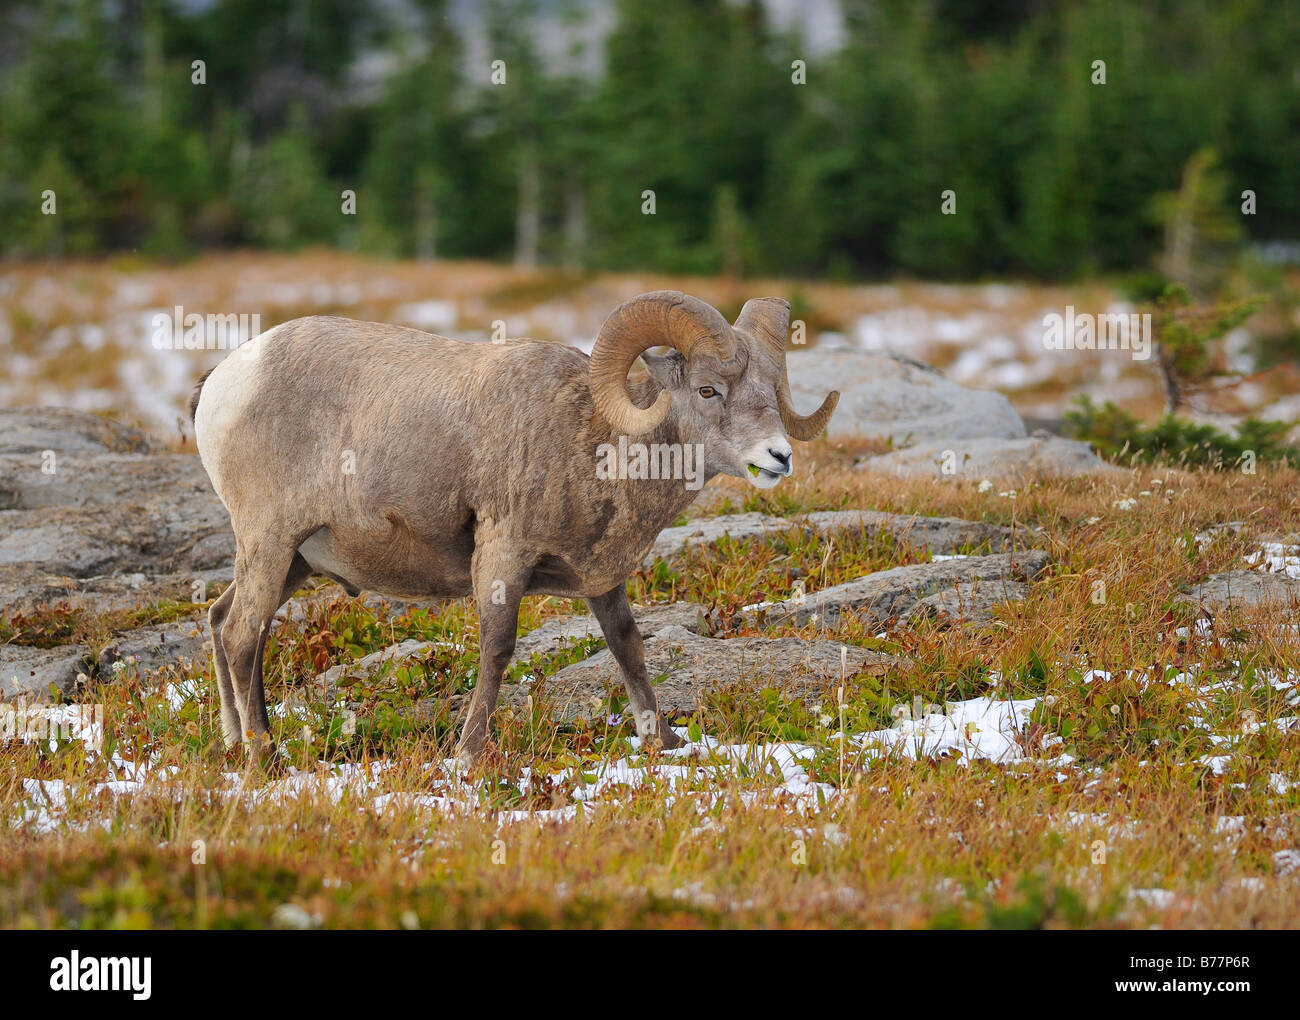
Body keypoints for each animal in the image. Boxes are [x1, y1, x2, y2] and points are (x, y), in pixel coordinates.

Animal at [190, 290, 838, 766]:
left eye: (770, 393)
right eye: (708, 390)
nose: (778, 457)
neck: (595, 444)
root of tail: (224, 382)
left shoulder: (603, 581)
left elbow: (628, 647)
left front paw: (666, 743)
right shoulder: (503, 557)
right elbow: (499, 647)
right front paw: (469, 752)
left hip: (292, 562)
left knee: (223, 620)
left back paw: (234, 742)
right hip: (271, 542)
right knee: (242, 634)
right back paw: (264, 757)